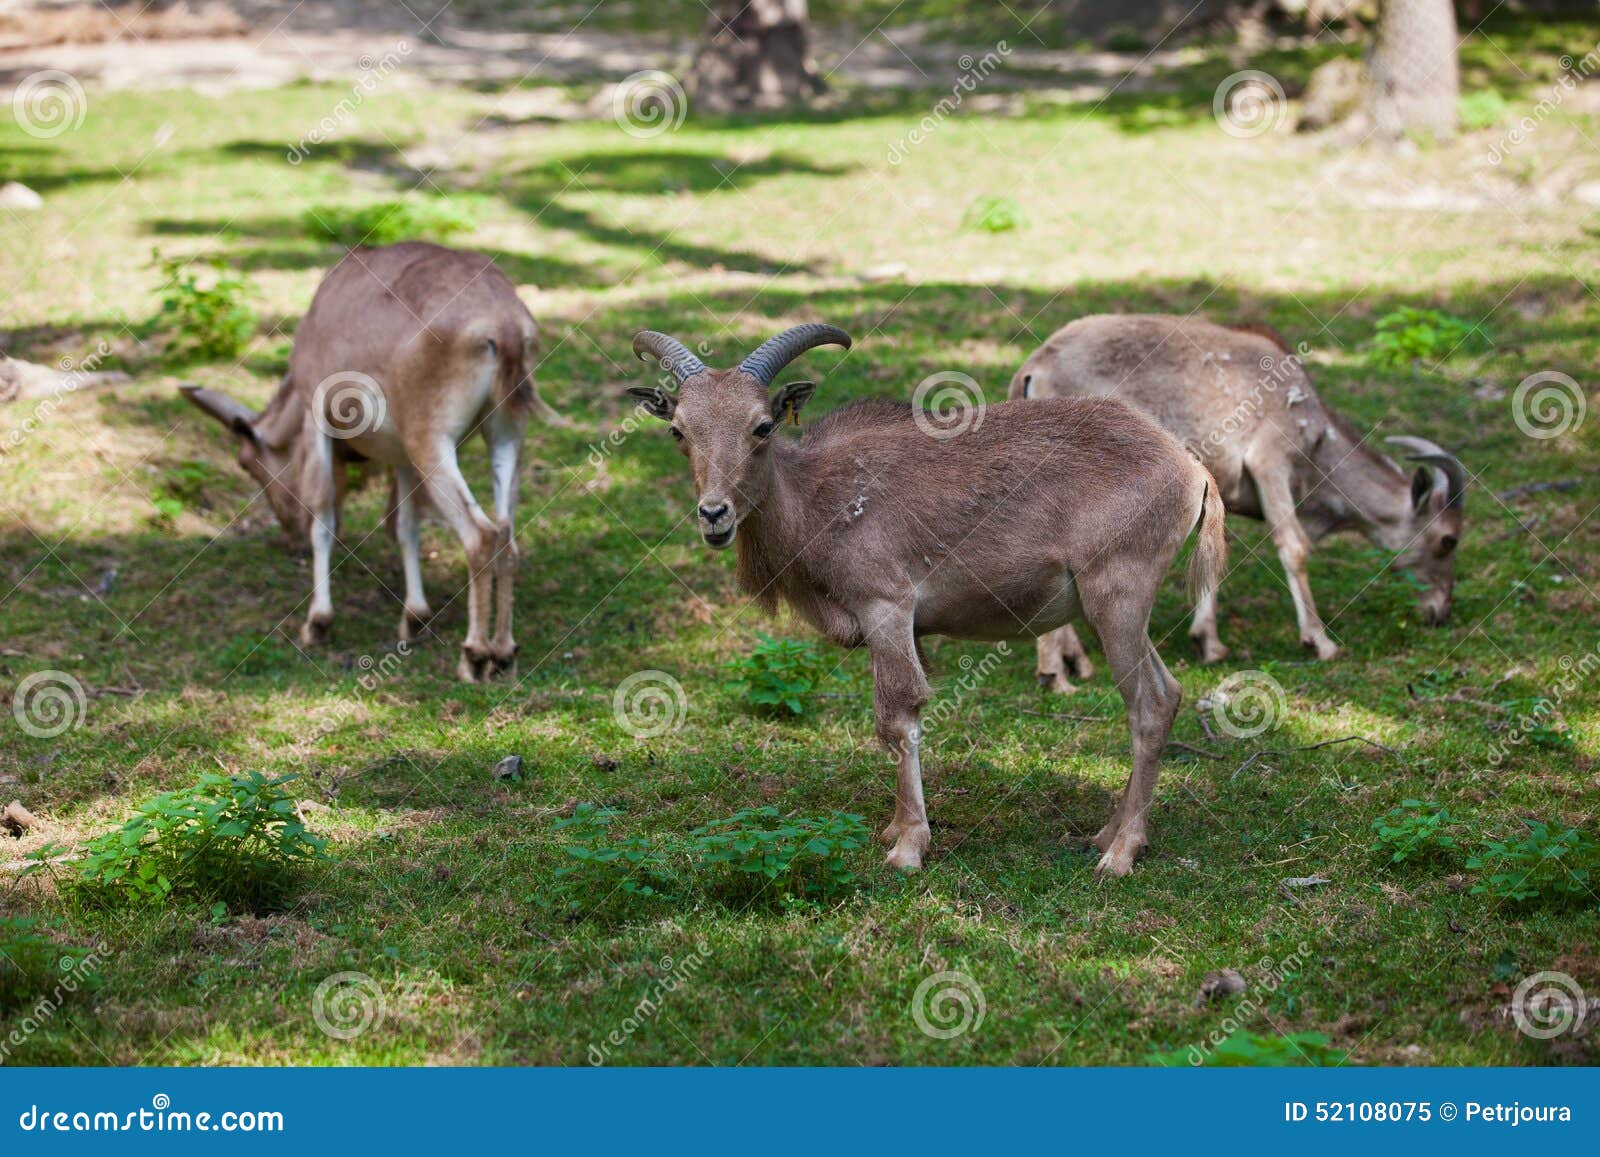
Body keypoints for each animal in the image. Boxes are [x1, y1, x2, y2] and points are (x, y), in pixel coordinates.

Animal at [182, 242, 561, 681]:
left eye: (247, 463)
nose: (289, 538)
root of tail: (504, 329)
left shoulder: (317, 420)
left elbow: (325, 516)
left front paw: (317, 622)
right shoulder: (402, 456)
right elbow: (406, 525)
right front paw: (414, 617)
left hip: (432, 438)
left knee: (481, 534)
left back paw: (474, 655)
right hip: (506, 431)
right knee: (507, 536)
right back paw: (504, 651)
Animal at [629, 325, 1228, 877]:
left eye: (762, 425)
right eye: (679, 430)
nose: (714, 515)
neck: (817, 497)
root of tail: (1191, 471)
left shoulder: (886, 607)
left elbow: (898, 717)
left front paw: (908, 847)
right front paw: (894, 828)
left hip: (1118, 595)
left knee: (1148, 704)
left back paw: (1122, 852)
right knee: (1169, 693)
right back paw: (1107, 832)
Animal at [1010, 314, 1465, 691]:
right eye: (1448, 540)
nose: (1441, 612)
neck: (1317, 436)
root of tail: (1033, 369)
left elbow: (1217, 552)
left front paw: (1209, 643)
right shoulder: (1270, 461)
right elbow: (1294, 546)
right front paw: (1320, 641)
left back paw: (1077, 662)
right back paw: (1054, 672)